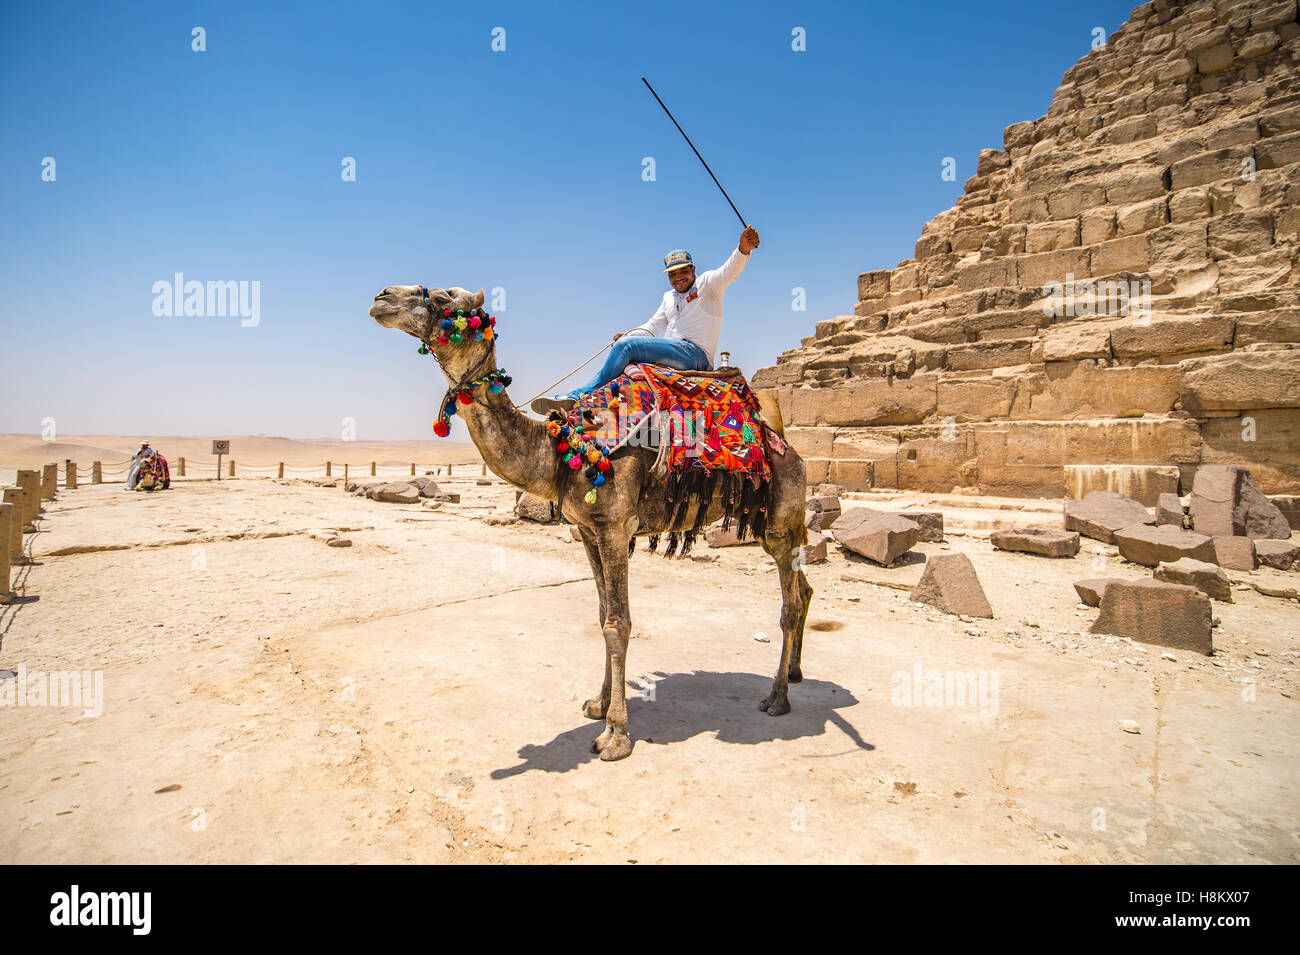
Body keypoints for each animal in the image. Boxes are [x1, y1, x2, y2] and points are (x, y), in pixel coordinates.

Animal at [369, 284, 814, 761]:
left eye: (443, 297)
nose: (382, 297)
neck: (561, 451)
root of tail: (784, 441)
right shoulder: (586, 530)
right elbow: (601, 615)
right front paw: (598, 704)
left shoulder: (615, 527)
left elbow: (618, 624)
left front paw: (616, 734)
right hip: (776, 522)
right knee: (804, 589)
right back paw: (797, 673)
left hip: (780, 516)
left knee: (789, 602)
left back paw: (777, 697)